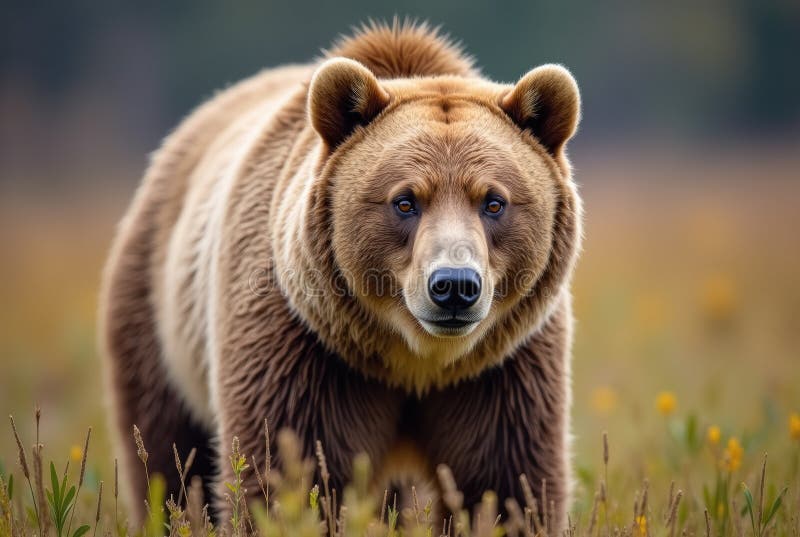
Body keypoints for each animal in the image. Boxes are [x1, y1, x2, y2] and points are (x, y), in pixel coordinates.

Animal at [99, 20, 582, 531]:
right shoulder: (302, 348)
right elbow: (286, 471)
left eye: (493, 201)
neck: (414, 361)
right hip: (157, 320)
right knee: (167, 456)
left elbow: (507, 482)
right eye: (405, 201)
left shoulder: (501, 370)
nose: (454, 286)